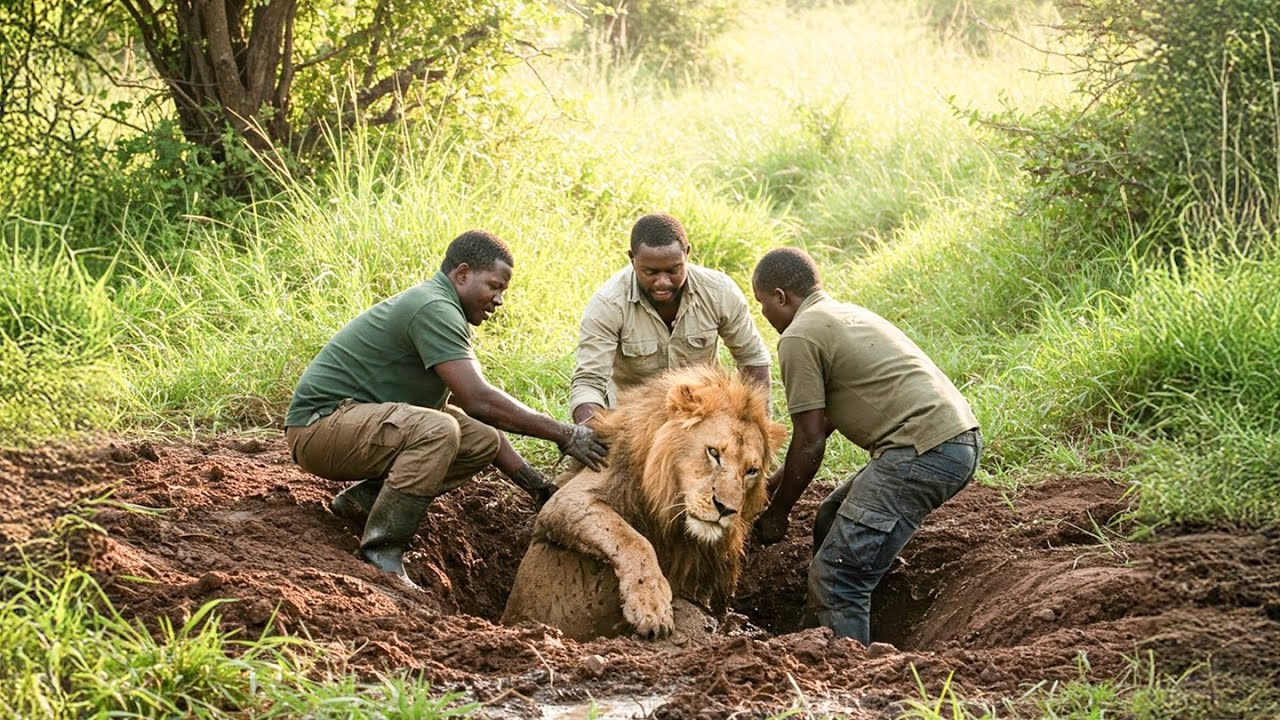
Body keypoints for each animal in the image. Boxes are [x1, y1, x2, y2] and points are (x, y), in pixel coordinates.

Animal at [501, 364, 787, 641]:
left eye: (751, 471)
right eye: (713, 452)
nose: (726, 509)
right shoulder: (570, 498)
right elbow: (632, 539)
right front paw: (651, 604)